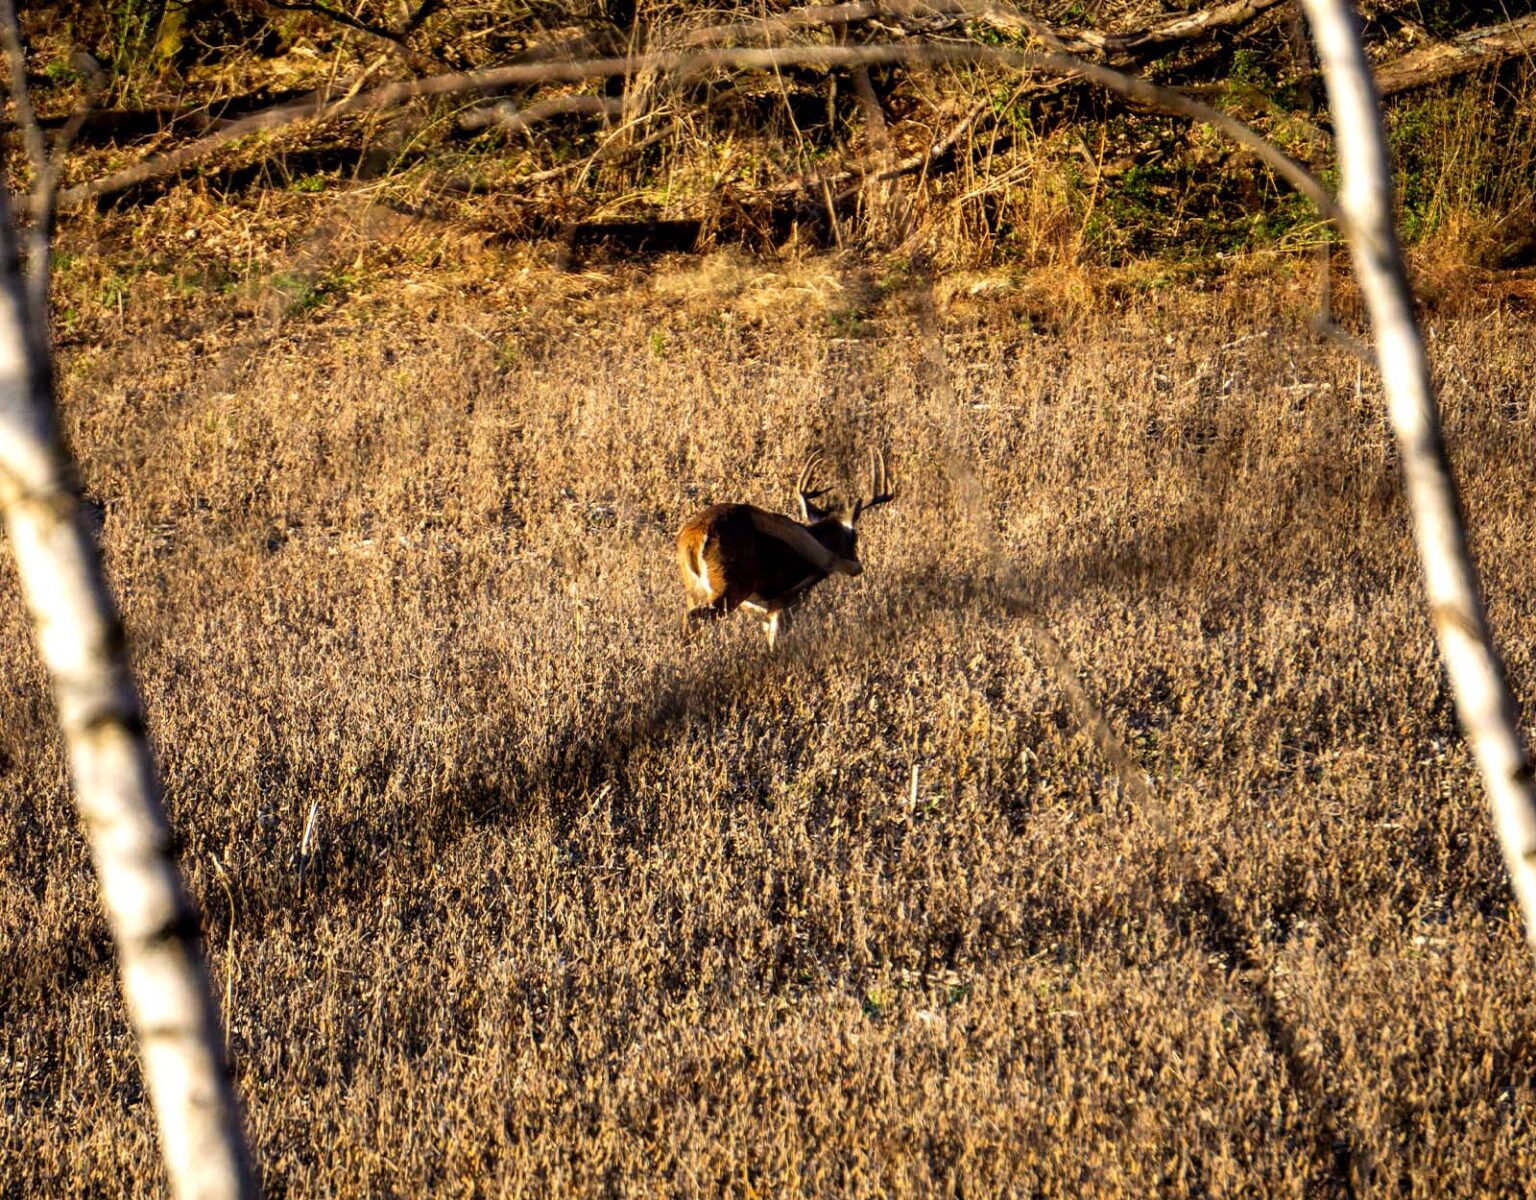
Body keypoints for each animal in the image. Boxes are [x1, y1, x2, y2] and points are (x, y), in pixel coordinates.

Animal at [676, 450, 897, 649]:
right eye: (853, 539)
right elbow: (777, 641)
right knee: (692, 617)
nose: (857, 567)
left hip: (694, 589)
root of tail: (695, 537)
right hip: (730, 586)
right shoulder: (788, 598)